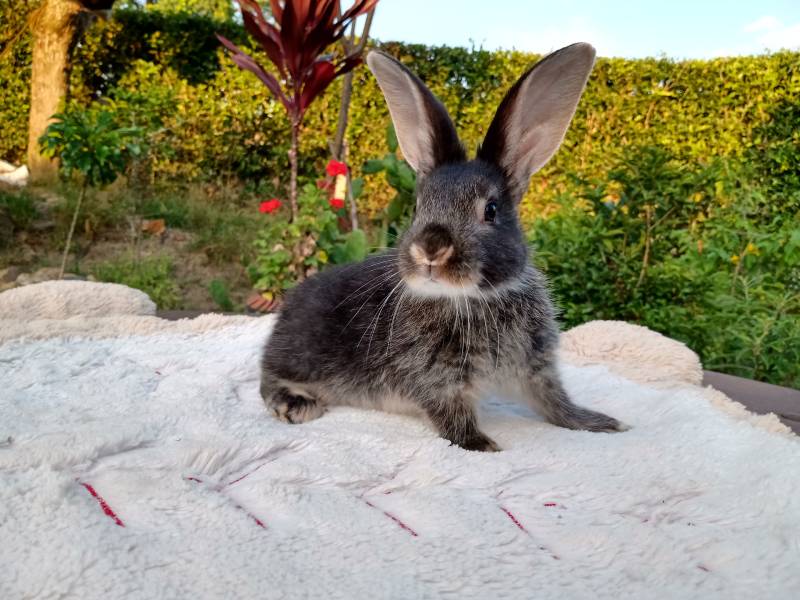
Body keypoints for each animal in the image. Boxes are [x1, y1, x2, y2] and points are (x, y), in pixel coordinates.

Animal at [259, 43, 628, 451]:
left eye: (491, 210)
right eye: (419, 206)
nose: (430, 249)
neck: (469, 298)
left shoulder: (535, 369)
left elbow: (554, 402)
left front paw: (600, 423)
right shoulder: (435, 381)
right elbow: (453, 419)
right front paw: (485, 446)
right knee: (267, 380)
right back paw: (295, 404)